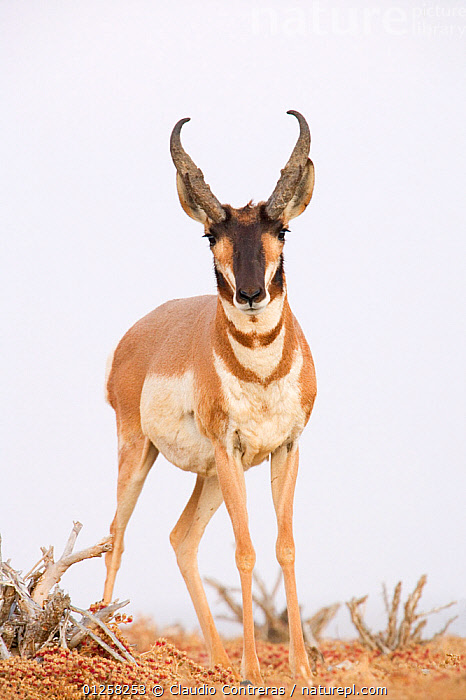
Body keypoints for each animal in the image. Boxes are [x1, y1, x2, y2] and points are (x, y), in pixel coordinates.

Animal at [103, 110, 317, 683]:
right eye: (210, 234)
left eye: (281, 228)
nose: (250, 294)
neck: (260, 372)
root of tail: (138, 333)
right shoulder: (230, 448)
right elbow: (245, 551)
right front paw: (254, 672)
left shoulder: (285, 450)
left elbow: (286, 548)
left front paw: (302, 671)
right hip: (142, 455)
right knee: (115, 537)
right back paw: (103, 645)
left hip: (214, 478)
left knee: (182, 538)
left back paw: (217, 661)